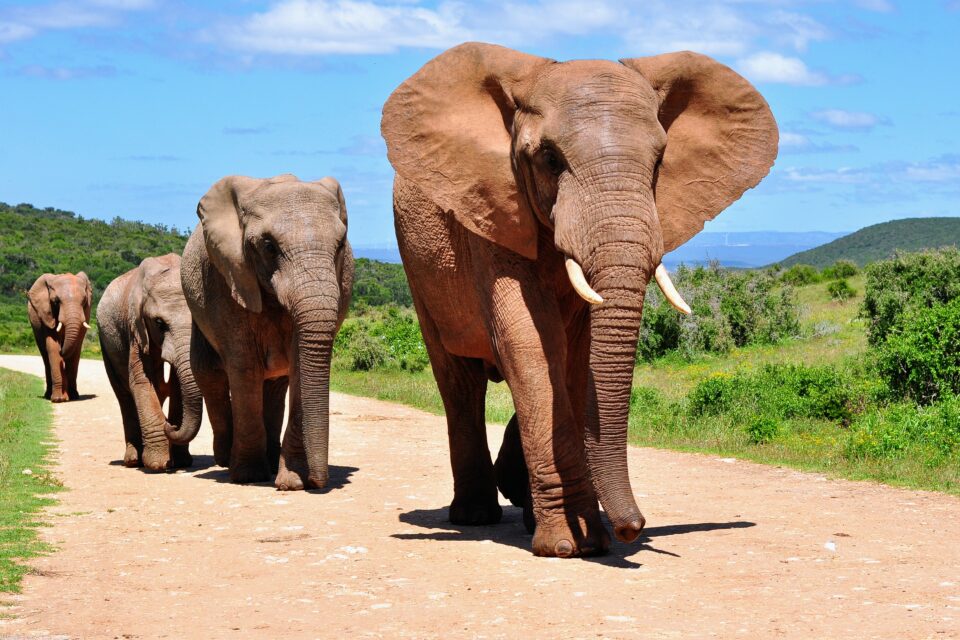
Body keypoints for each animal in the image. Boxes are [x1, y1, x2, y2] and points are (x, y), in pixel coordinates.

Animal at [27, 272, 93, 403]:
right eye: (56, 301)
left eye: (84, 301)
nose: (62, 350)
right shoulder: (47, 314)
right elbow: (52, 347)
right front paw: (58, 399)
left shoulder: (86, 313)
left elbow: (76, 350)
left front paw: (73, 397)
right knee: (45, 356)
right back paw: (49, 395)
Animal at [97, 254, 203, 471]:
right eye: (159, 323)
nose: (170, 425)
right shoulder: (135, 328)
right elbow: (140, 381)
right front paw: (158, 464)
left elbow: (178, 385)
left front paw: (181, 462)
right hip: (105, 342)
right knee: (124, 396)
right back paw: (132, 460)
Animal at [181, 174, 353, 487]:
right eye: (269, 247)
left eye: (340, 246)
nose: (318, 482)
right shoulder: (226, 277)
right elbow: (245, 366)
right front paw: (248, 476)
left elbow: (299, 364)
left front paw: (292, 482)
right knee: (209, 373)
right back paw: (226, 461)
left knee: (274, 385)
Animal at [381, 42, 778, 557]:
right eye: (550, 159)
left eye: (659, 162)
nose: (634, 528)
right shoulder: (493, 210)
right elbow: (531, 342)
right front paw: (572, 545)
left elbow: (574, 356)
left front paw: (587, 537)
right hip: (418, 266)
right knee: (459, 381)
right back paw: (474, 516)